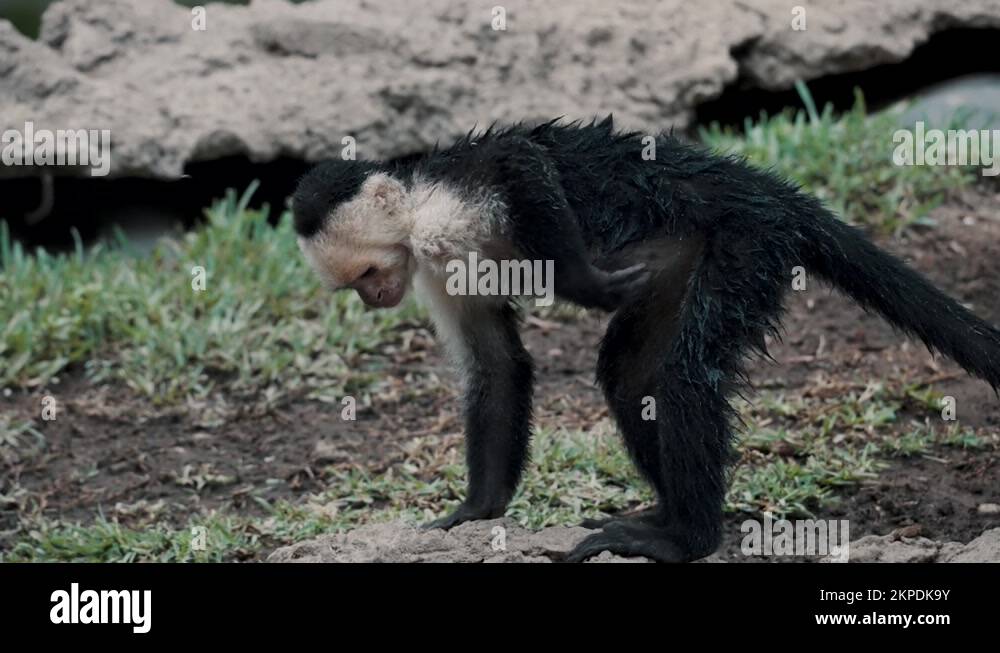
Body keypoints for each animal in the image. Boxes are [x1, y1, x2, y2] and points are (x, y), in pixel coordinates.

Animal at [291, 117, 1000, 562]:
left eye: (366, 275)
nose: (372, 299)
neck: (416, 212)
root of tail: (764, 191)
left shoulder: (447, 208)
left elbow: (523, 164)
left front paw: (583, 282)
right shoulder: (438, 267)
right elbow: (497, 366)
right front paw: (476, 511)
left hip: (745, 241)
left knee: (686, 376)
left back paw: (687, 539)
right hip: (691, 257)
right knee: (632, 375)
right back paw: (666, 517)